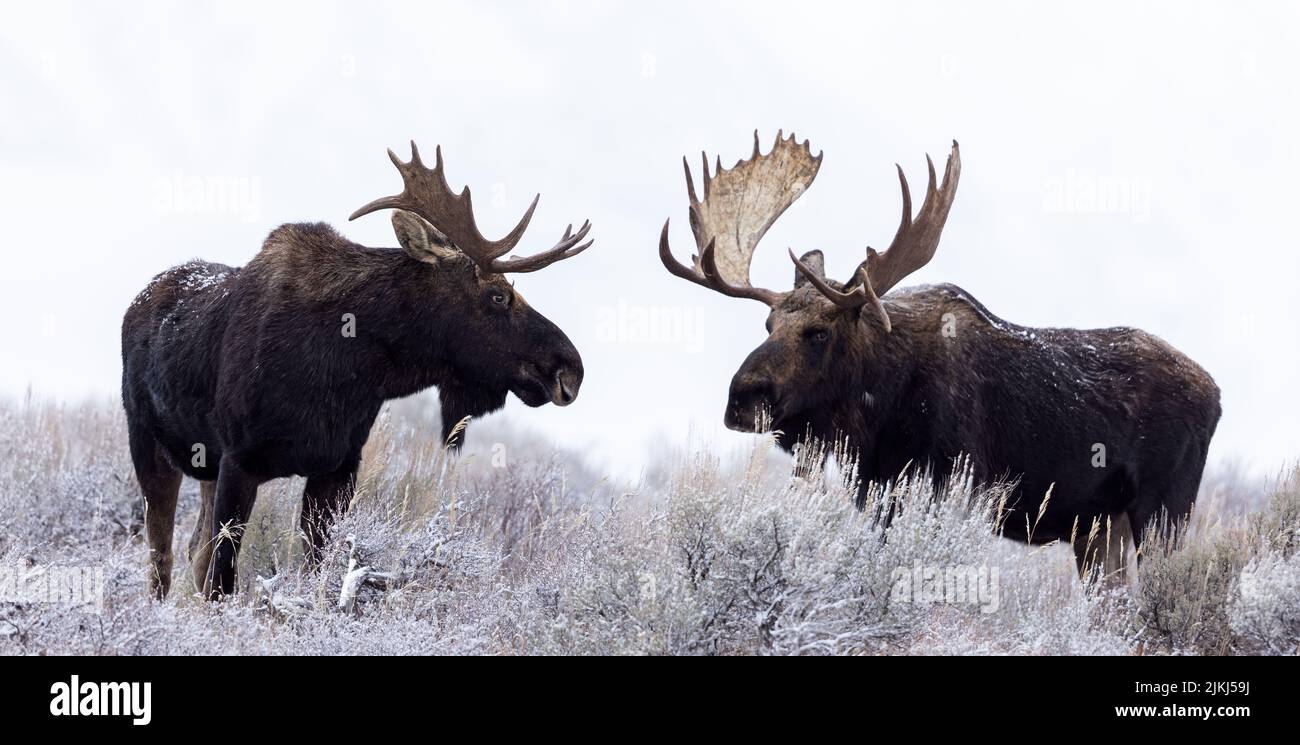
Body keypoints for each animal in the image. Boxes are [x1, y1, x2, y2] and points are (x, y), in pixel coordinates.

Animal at [122, 142, 593, 599]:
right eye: (498, 296)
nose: (571, 369)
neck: (353, 361)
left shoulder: (338, 466)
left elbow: (313, 571)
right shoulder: (240, 460)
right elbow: (222, 581)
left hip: (204, 467)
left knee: (192, 549)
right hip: (149, 447)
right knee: (161, 559)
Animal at [658, 131, 1221, 577]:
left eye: (819, 332)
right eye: (768, 324)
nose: (741, 399)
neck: (877, 410)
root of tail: (1217, 393)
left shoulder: (949, 483)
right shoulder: (877, 489)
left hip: (1164, 511)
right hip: (1100, 526)